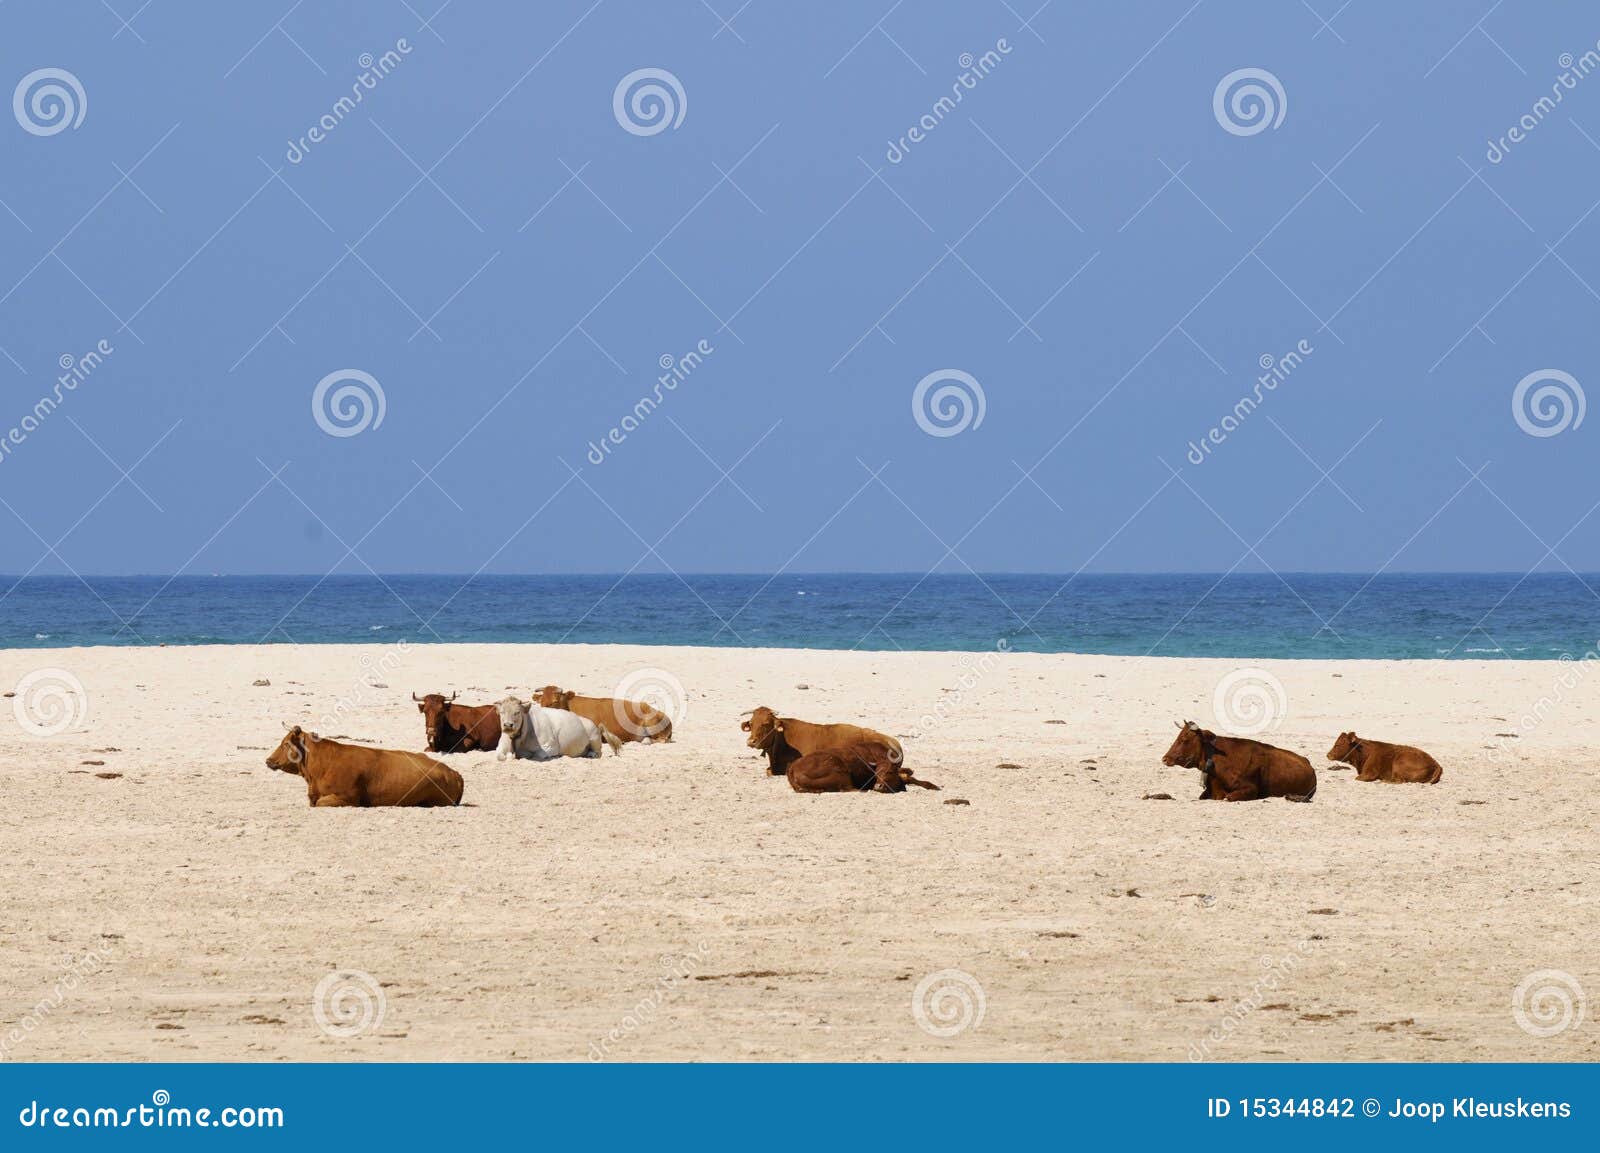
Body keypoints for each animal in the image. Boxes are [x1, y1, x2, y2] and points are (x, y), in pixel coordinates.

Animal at [786, 742, 941, 794]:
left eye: (890, 772)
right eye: (876, 774)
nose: (878, 787)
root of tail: (793, 767)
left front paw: (934, 786)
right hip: (841, 773)